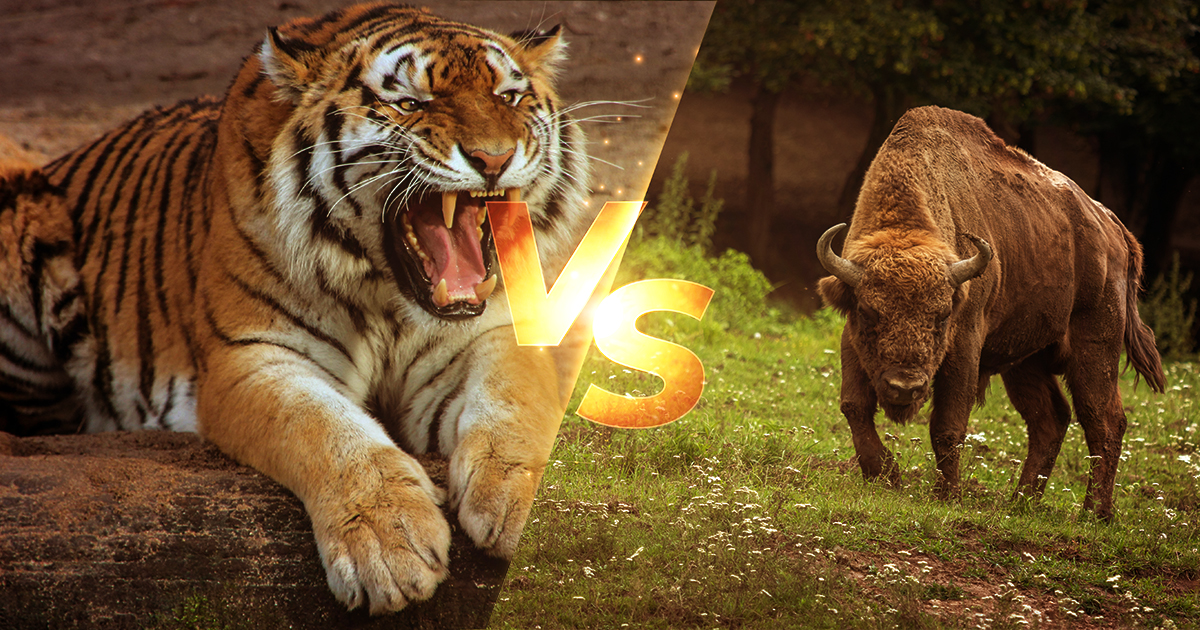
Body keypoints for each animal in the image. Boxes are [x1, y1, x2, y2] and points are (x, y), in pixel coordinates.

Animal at [1, 2, 594, 614]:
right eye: (411, 103)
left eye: (508, 98)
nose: (493, 159)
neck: (390, 299)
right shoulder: (253, 356)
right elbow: (324, 428)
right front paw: (389, 545)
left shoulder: (489, 335)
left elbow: (515, 396)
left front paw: (520, 498)